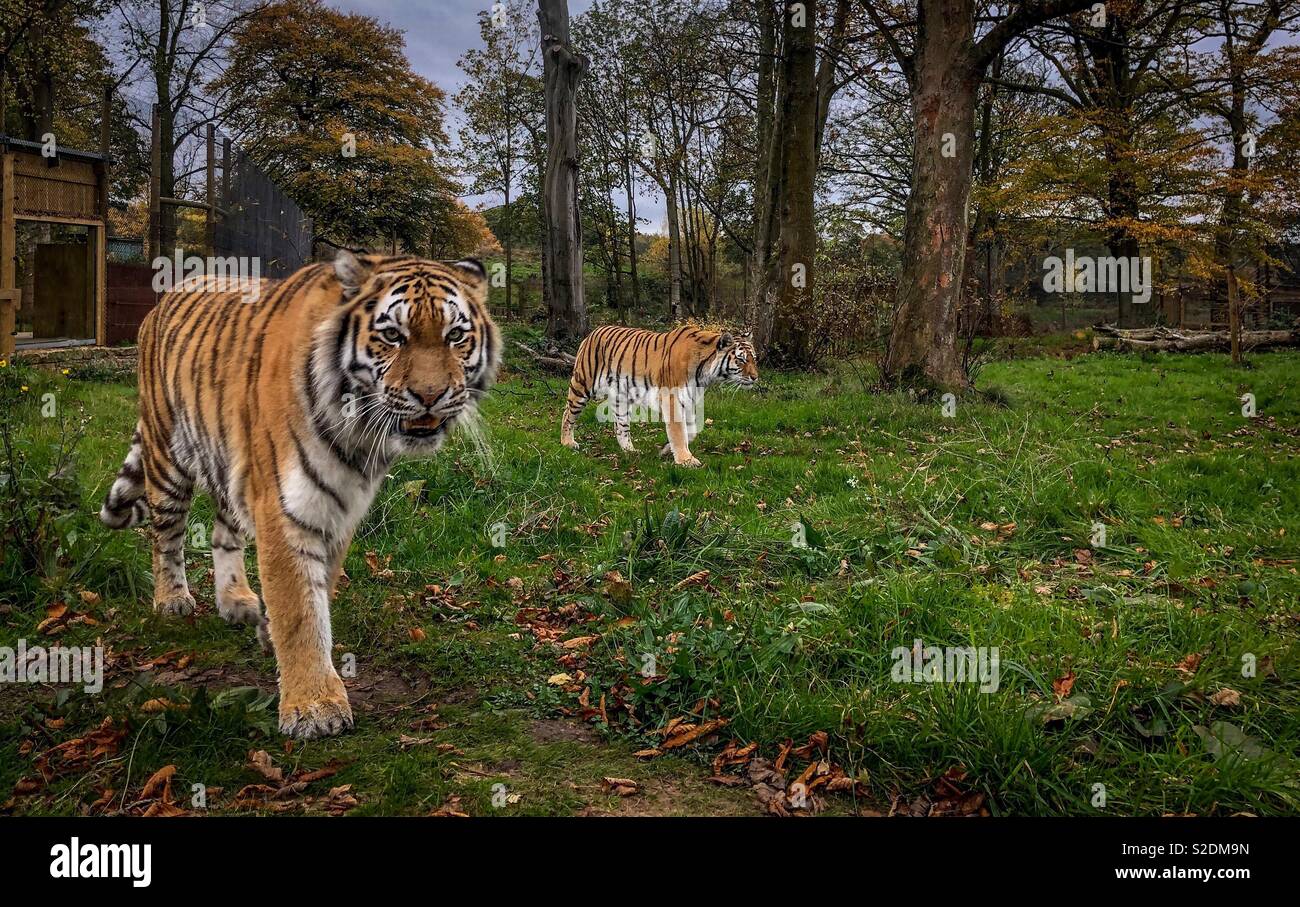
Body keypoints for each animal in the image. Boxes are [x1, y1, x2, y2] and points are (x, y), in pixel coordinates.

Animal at [99, 251, 500, 739]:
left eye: (455, 336)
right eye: (392, 336)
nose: (430, 396)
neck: (359, 434)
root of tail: (166, 297)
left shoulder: (338, 510)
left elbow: (318, 592)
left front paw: (281, 645)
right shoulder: (284, 507)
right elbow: (298, 608)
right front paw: (314, 707)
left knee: (223, 533)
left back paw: (236, 601)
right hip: (167, 455)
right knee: (166, 535)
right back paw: (172, 599)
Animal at [560, 324, 758, 467]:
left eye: (754, 358)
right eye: (741, 359)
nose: (756, 377)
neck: (705, 372)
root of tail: (591, 333)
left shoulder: (690, 399)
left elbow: (691, 430)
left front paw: (666, 451)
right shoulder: (672, 398)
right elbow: (678, 430)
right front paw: (686, 460)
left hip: (621, 397)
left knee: (620, 425)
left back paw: (630, 451)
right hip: (582, 385)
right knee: (567, 413)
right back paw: (567, 443)